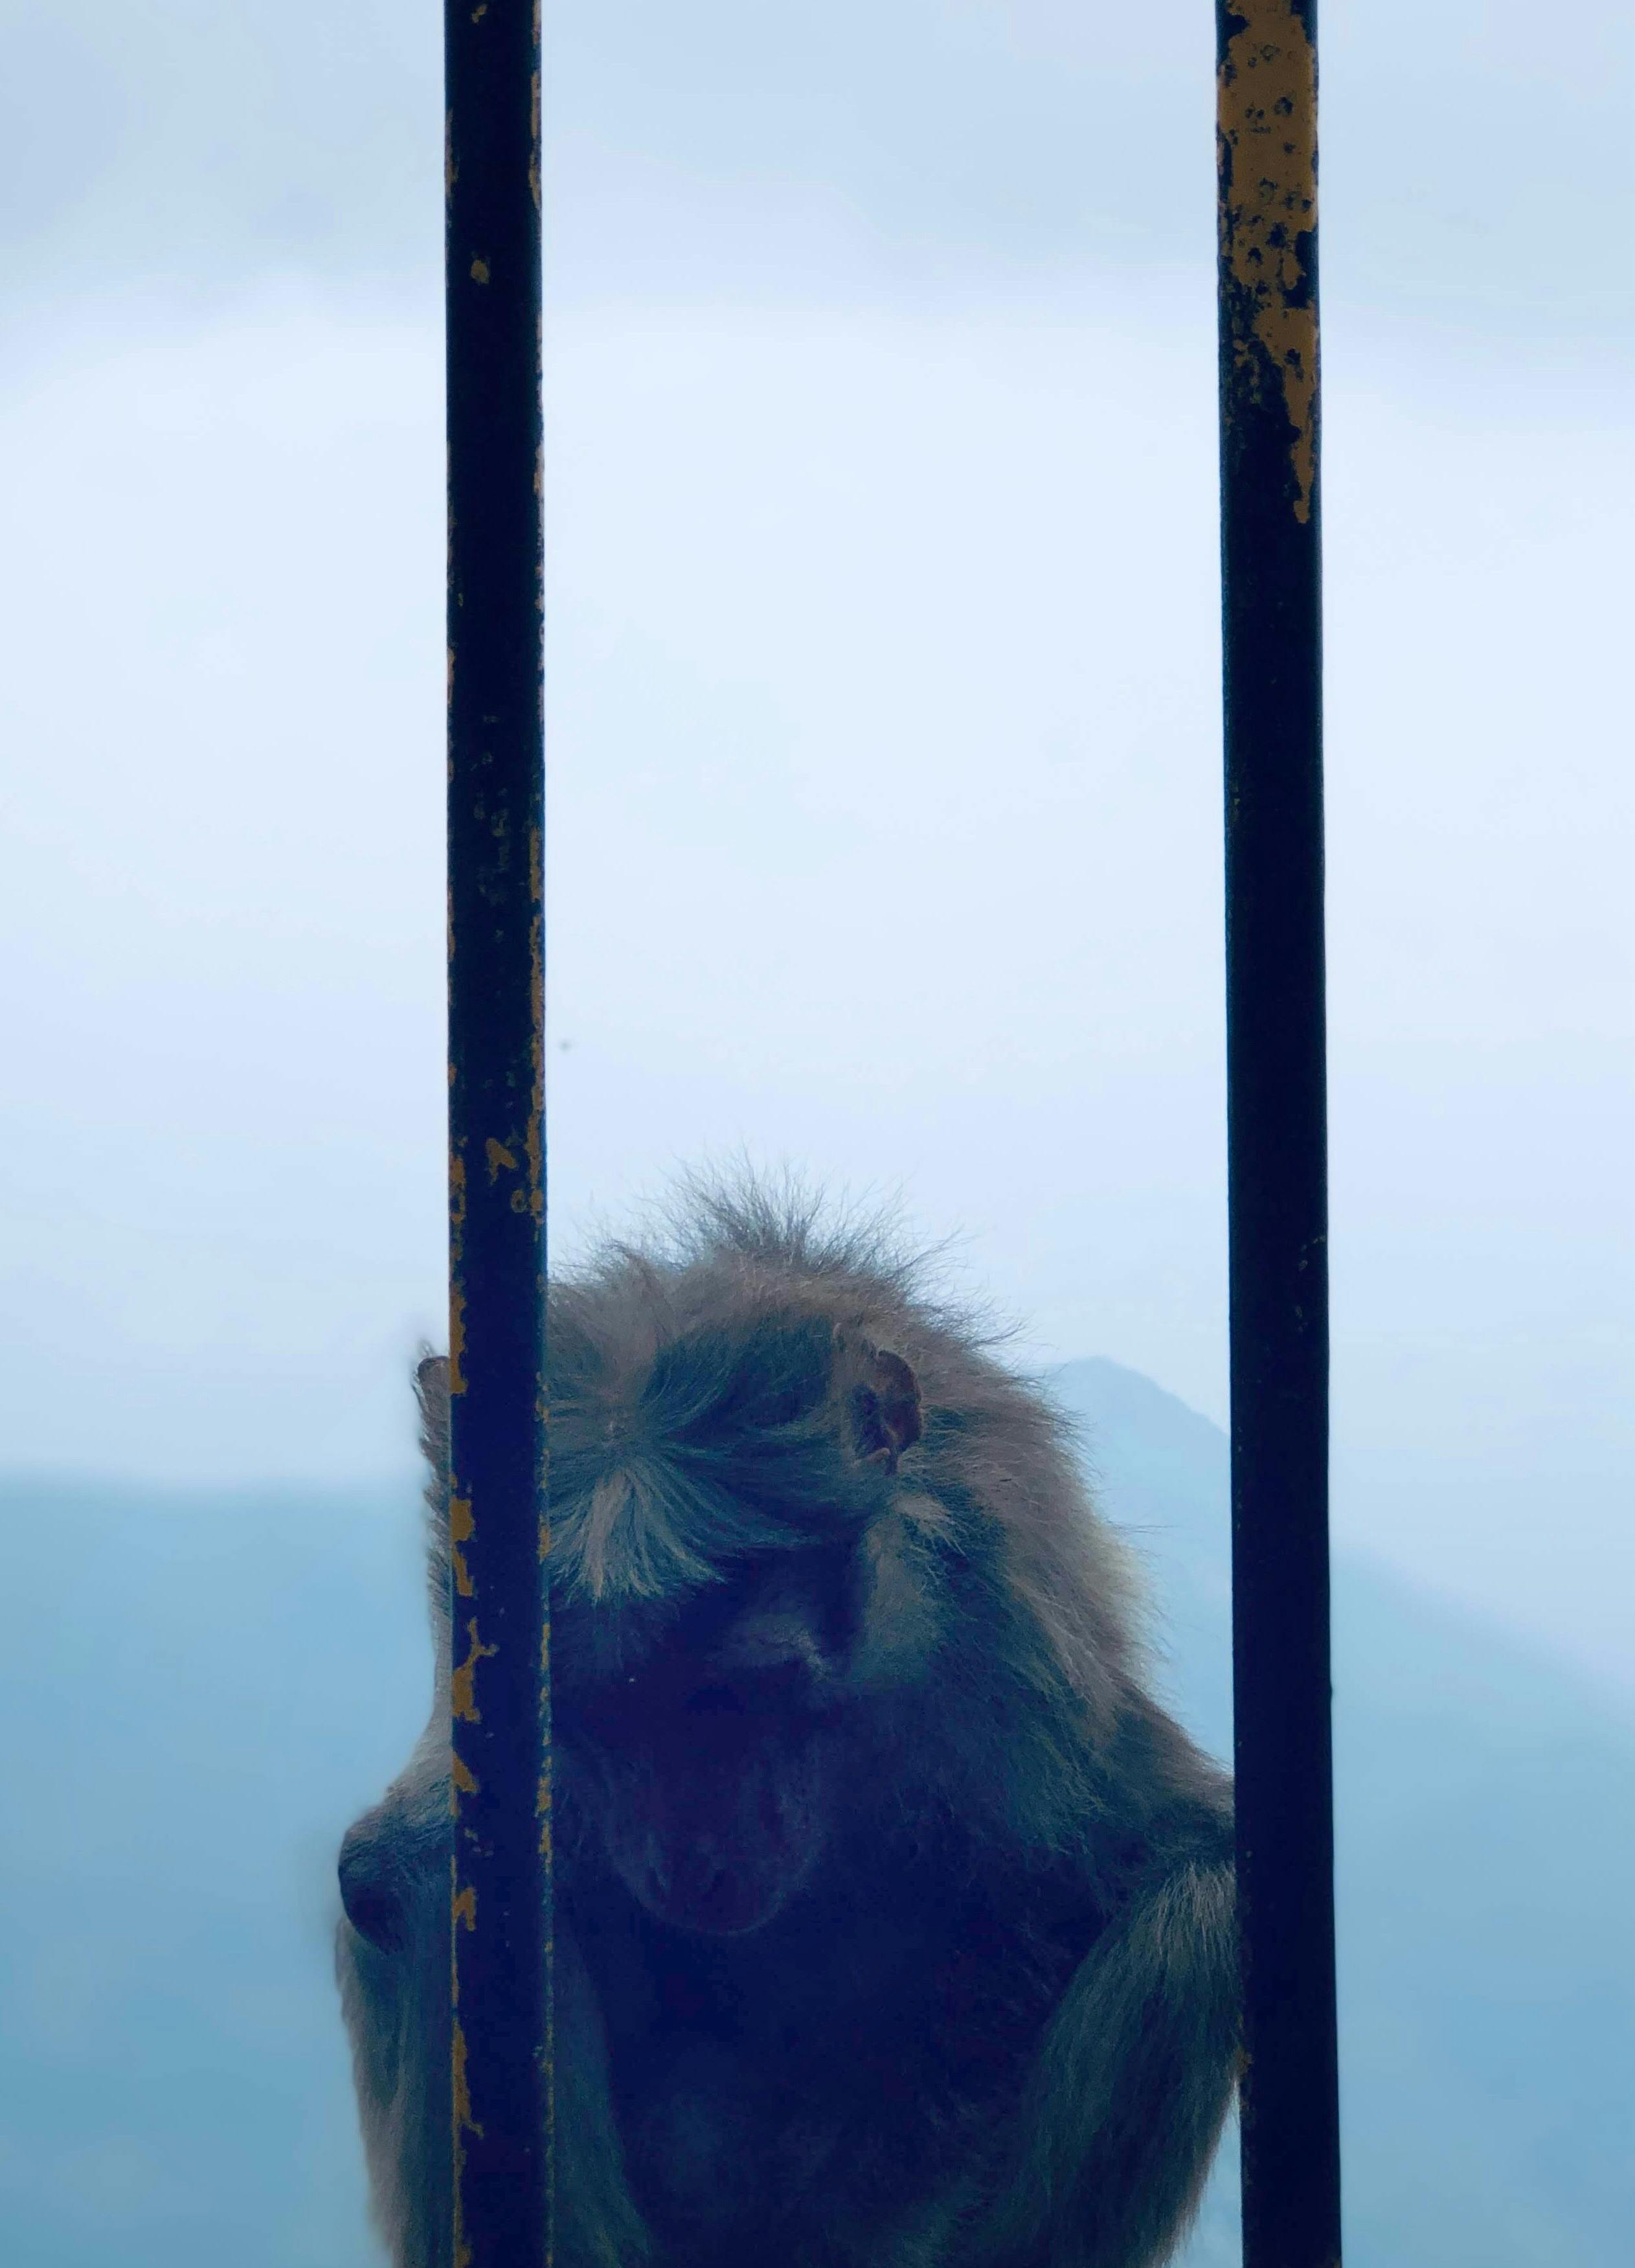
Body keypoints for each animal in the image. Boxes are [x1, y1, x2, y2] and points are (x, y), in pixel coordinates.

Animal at [337, 1184, 1237, 2268]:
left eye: (749, 1696)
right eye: (600, 1715)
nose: (696, 1866)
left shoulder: (1009, 1651)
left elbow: (1107, 1872)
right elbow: (406, 1858)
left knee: (1196, 1904)